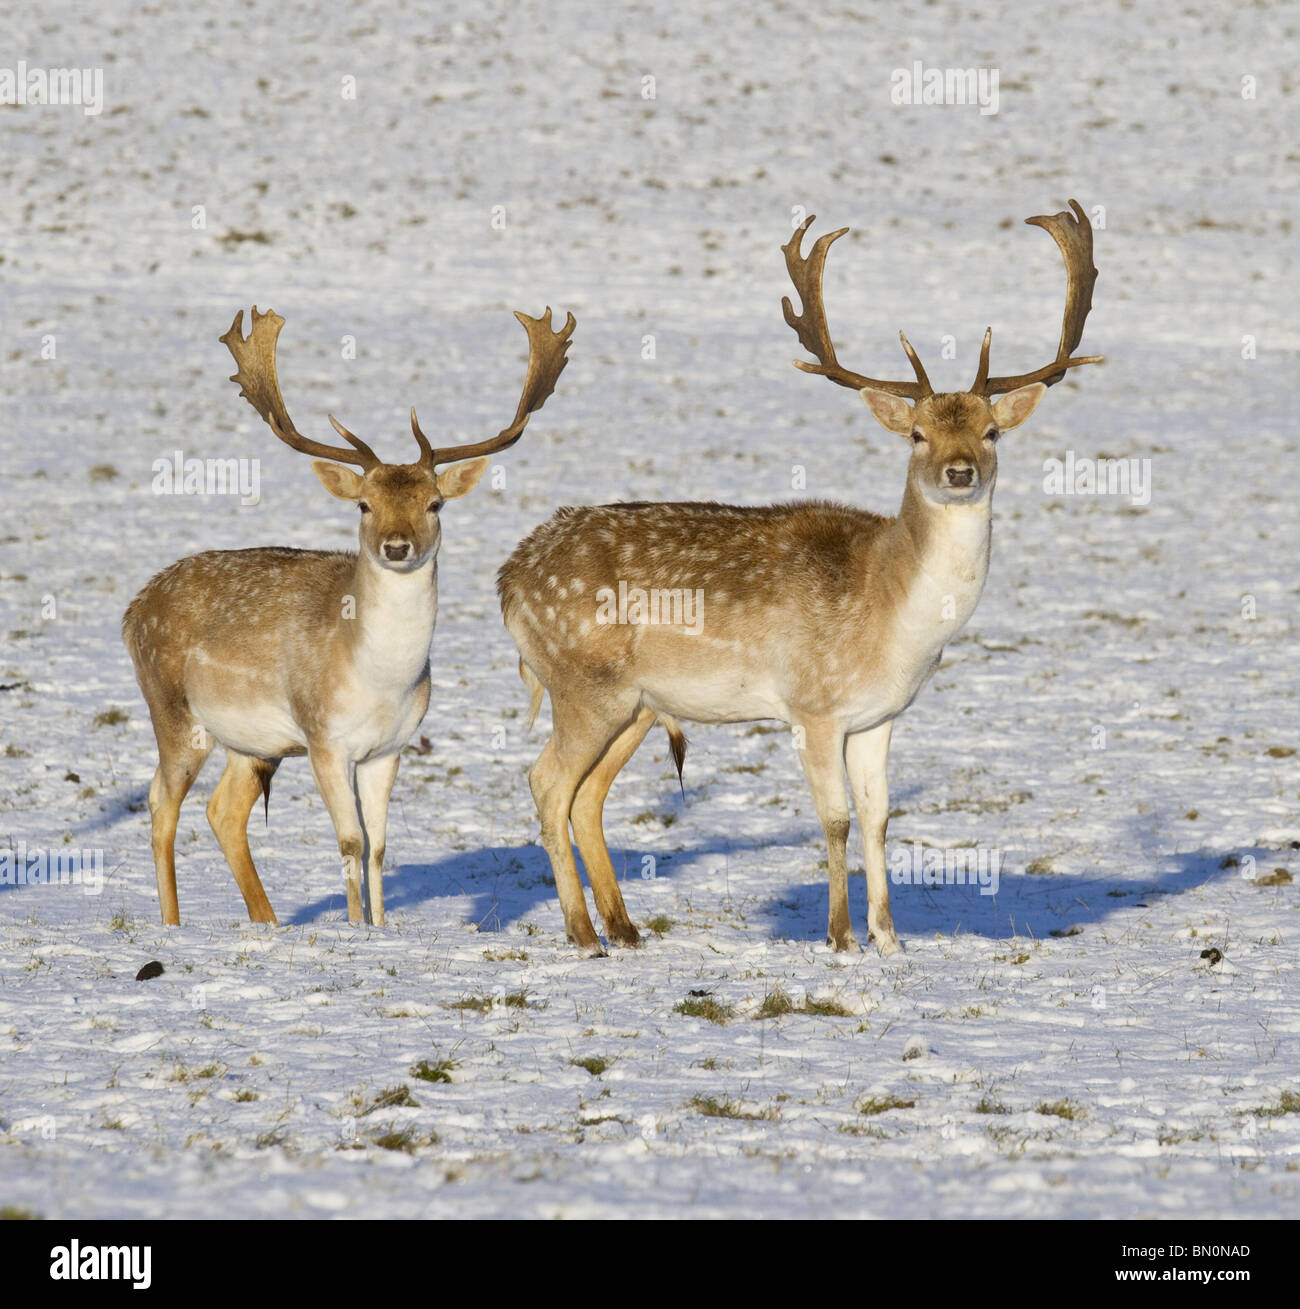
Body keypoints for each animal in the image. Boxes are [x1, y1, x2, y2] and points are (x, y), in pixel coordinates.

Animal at [124, 304, 575, 928]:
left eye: (434, 504)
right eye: (364, 504)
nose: (396, 546)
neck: (379, 681)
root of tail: (133, 609)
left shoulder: (390, 748)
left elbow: (380, 846)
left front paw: (381, 928)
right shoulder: (324, 738)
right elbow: (350, 841)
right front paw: (355, 926)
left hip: (254, 742)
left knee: (223, 809)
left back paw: (267, 922)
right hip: (172, 708)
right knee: (160, 801)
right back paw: (171, 924)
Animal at [498, 200, 1101, 956]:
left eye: (992, 432)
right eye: (917, 436)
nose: (959, 471)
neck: (891, 612)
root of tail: (508, 577)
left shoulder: (879, 716)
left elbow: (878, 817)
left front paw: (889, 938)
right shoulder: (812, 704)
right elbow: (836, 818)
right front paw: (840, 937)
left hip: (633, 704)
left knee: (586, 795)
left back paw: (625, 928)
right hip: (584, 684)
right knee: (547, 783)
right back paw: (583, 933)